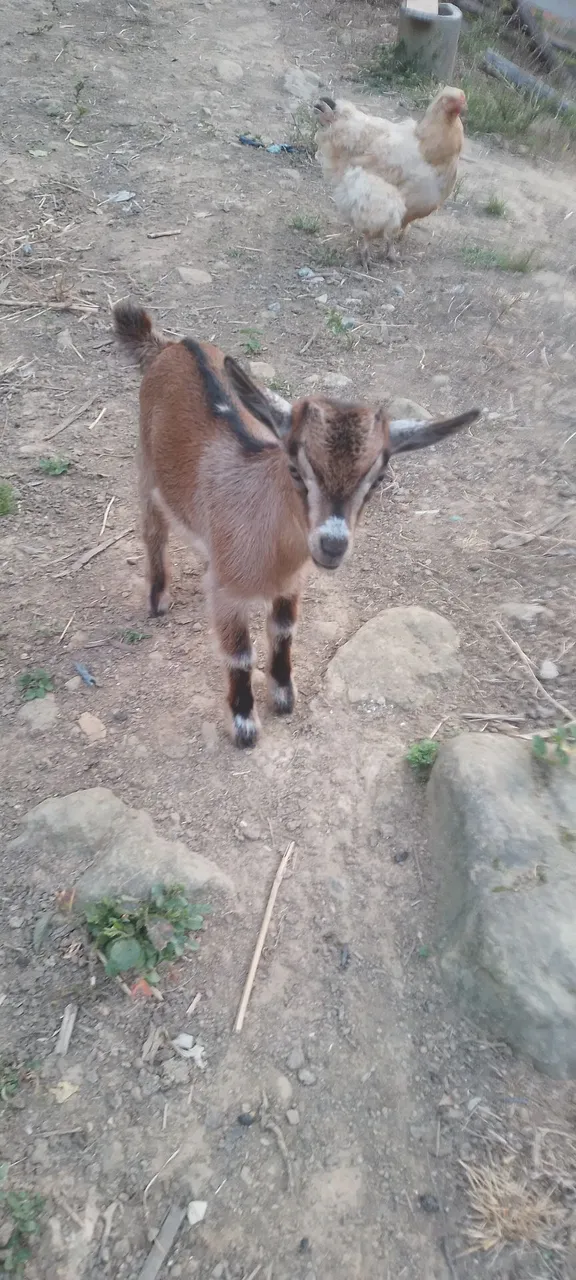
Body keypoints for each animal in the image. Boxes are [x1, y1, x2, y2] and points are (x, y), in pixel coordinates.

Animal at [113, 301, 480, 748]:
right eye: (295, 468)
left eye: (377, 479)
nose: (332, 544)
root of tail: (172, 345)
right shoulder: (226, 596)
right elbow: (239, 654)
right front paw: (245, 725)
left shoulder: (291, 585)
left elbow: (283, 632)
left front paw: (284, 697)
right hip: (146, 468)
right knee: (153, 530)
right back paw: (157, 598)